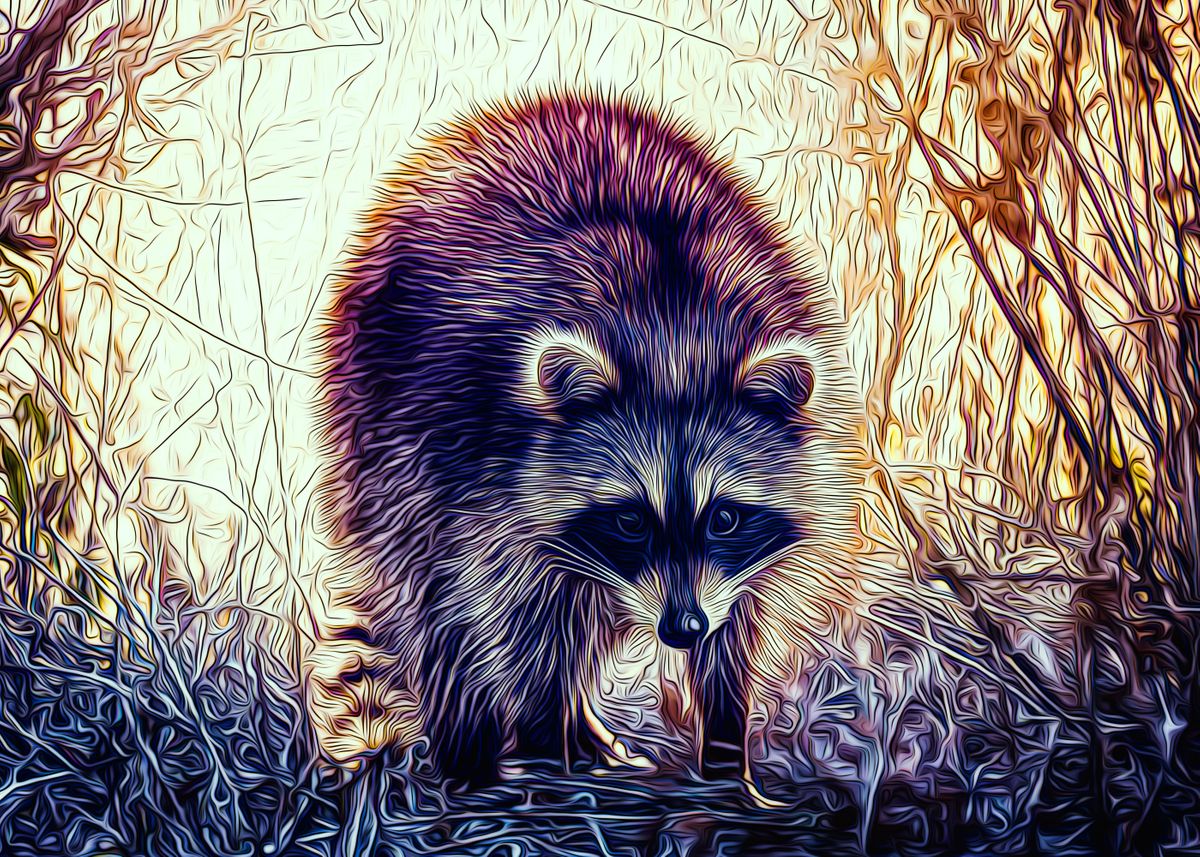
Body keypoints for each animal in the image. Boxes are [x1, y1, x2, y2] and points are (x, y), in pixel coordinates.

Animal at [310, 91, 868, 790]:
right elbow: (506, 612)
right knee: (439, 597)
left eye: (724, 517)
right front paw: (543, 747)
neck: (674, 335)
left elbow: (736, 625)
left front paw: (724, 746)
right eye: (631, 520)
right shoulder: (484, 457)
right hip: (385, 419)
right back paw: (472, 751)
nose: (682, 628)